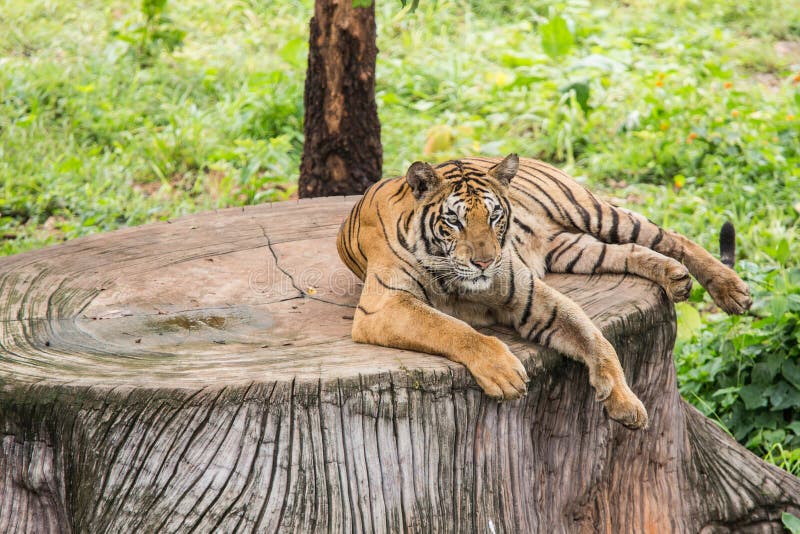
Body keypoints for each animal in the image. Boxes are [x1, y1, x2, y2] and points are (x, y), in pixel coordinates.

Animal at [336, 154, 751, 429]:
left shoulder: (529, 294)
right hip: (575, 250)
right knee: (630, 251)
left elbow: (594, 337)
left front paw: (625, 402)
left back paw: (731, 290)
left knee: (671, 235)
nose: (485, 262)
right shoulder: (384, 304)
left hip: (596, 213)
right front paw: (504, 373)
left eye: (494, 216)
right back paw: (675, 276)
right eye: (453, 220)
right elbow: (452, 328)